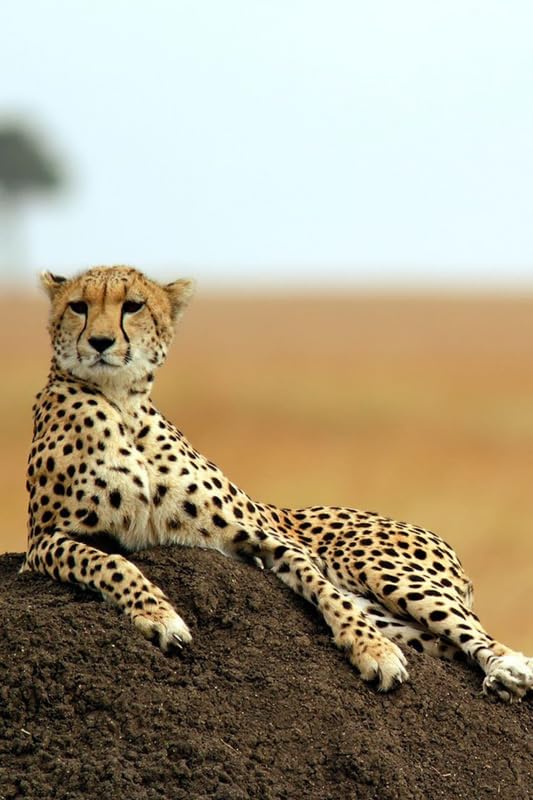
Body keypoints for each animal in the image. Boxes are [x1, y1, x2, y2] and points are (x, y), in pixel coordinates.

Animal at [23, 265, 533, 702]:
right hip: (395, 610)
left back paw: (506, 670)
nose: (100, 342)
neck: (121, 403)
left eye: (132, 306)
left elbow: (322, 588)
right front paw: (159, 616)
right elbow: (111, 562)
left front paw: (373, 652)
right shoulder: (42, 543)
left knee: (481, 635)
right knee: (441, 641)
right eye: (78, 306)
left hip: (376, 566)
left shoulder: (263, 538)